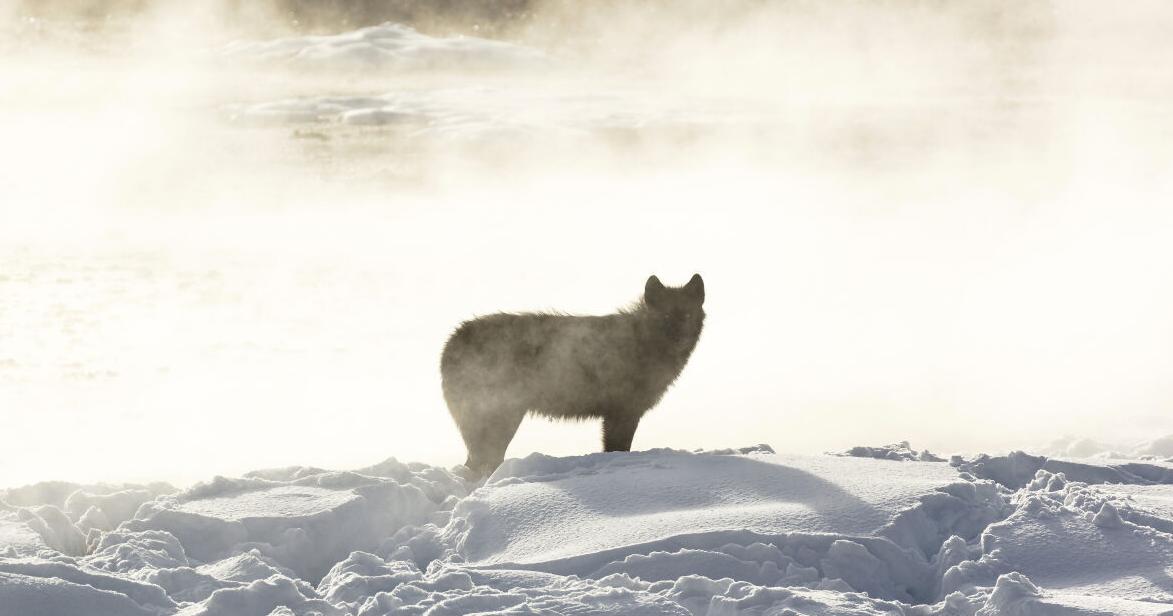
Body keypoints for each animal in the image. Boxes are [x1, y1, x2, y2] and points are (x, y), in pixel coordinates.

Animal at [440, 274, 705, 477]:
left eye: (688, 315)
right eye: (665, 317)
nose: (679, 338)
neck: (643, 342)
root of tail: (451, 341)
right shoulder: (622, 413)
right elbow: (618, 449)